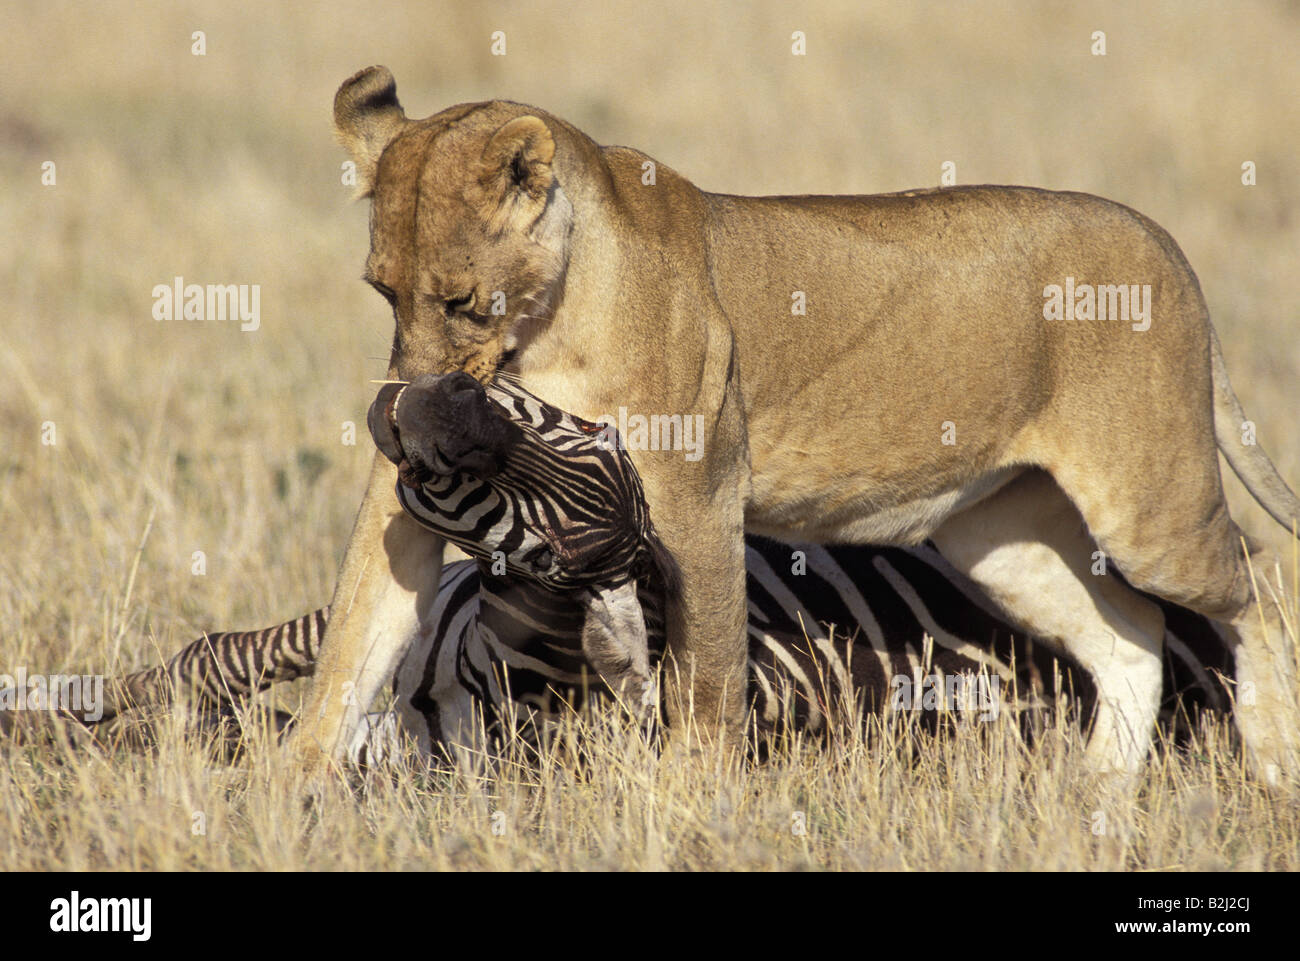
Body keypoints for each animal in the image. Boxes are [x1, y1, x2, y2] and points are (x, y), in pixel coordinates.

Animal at [289, 65, 1300, 784]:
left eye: (462, 301)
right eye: (383, 292)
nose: (401, 416)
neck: (541, 333)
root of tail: (1165, 243)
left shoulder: (698, 504)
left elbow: (705, 689)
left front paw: (691, 809)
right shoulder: (406, 500)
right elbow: (350, 648)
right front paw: (289, 801)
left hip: (1148, 508)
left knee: (1255, 582)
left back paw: (1273, 759)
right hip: (1003, 537)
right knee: (1131, 637)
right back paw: (1095, 801)